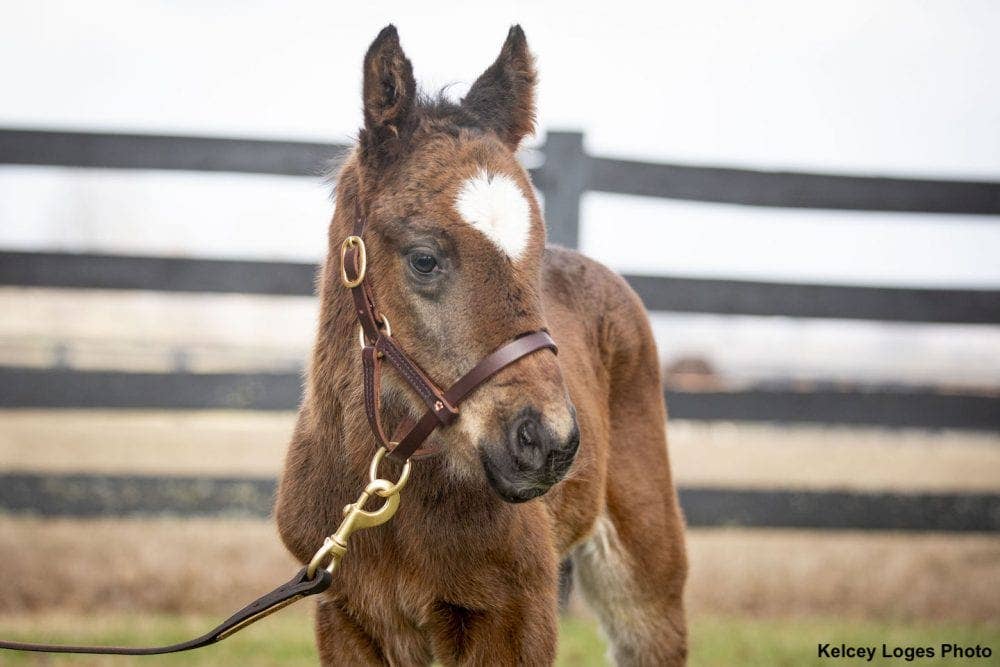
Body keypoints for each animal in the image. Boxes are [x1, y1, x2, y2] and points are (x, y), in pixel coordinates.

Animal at [275, 24, 688, 666]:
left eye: (535, 251)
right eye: (424, 258)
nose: (549, 442)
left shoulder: (515, 615)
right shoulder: (348, 616)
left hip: (647, 567)